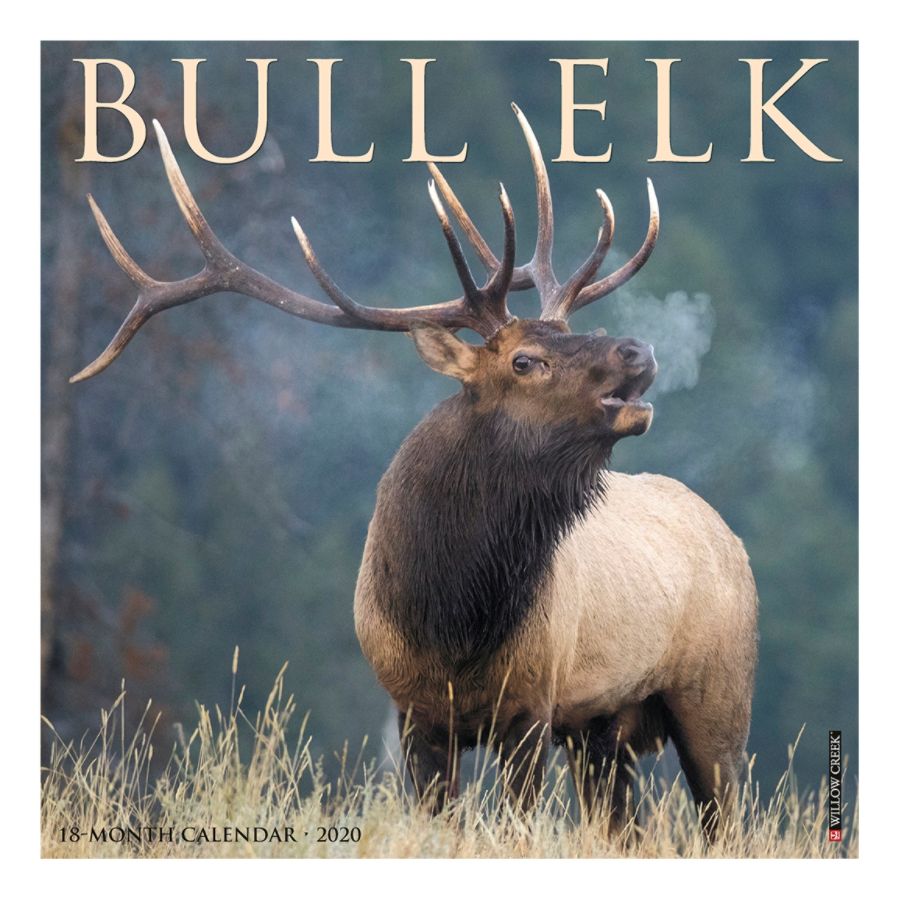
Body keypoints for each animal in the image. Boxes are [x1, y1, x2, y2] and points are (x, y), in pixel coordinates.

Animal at [70, 104, 758, 841]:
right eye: (524, 360)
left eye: (581, 331)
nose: (638, 350)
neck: (450, 618)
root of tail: (728, 535)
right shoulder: (414, 712)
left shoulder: (533, 704)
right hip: (606, 729)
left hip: (718, 702)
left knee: (723, 820)